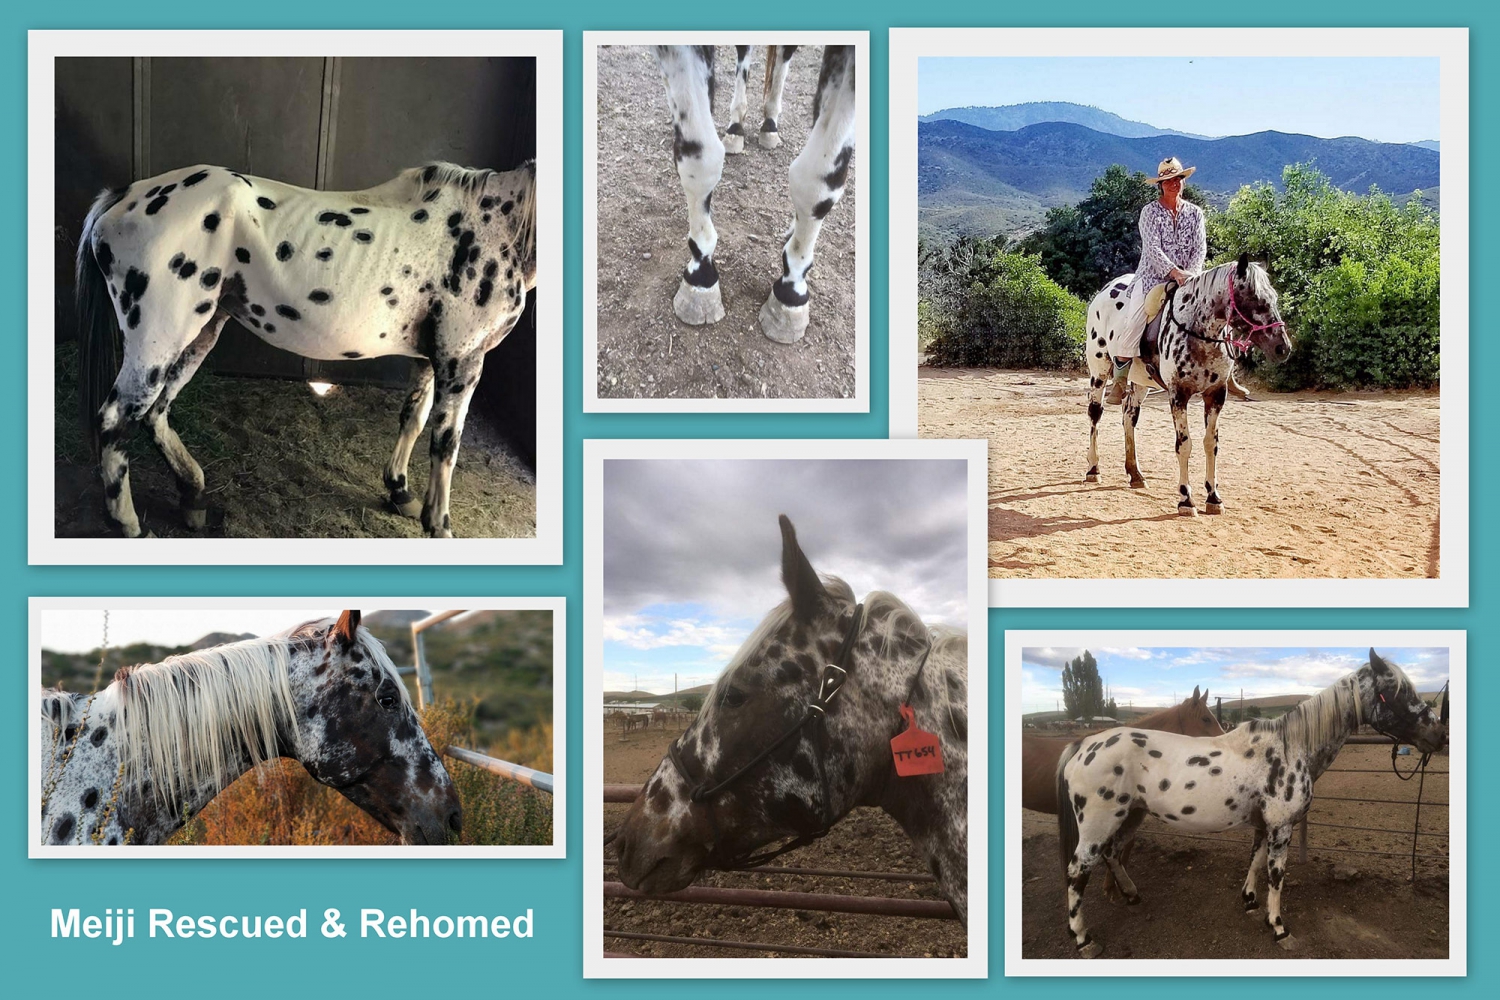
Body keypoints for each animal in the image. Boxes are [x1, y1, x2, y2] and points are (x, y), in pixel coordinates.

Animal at [75, 159, 537, 539]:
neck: (498, 227)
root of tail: (125, 197)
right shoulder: (463, 359)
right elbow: (446, 443)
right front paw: (438, 524)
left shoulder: (431, 358)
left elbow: (414, 419)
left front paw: (399, 492)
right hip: (160, 338)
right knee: (116, 420)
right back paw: (130, 526)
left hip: (200, 332)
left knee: (155, 413)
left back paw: (193, 497)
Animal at [653, 45, 855, 343]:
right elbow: (699, 159)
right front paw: (701, 275)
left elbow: (819, 182)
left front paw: (791, 290)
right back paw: (736, 125)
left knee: (785, 56)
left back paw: (770, 123)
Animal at [1056, 649, 1447, 957]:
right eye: (1396, 691)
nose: (1439, 735)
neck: (1290, 748)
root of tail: (1084, 745)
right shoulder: (1282, 826)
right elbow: (1276, 875)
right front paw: (1279, 928)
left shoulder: (1265, 825)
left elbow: (1256, 862)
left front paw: (1249, 902)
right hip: (1099, 823)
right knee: (1077, 870)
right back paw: (1083, 939)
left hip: (1130, 816)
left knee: (1112, 855)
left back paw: (1132, 896)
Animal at [1084, 255, 1293, 515]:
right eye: (1255, 299)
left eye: (1273, 298)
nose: (1283, 348)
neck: (1198, 331)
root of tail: (1105, 290)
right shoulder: (1178, 395)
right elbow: (1184, 445)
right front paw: (1186, 499)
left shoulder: (1215, 395)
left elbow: (1210, 444)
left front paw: (1214, 497)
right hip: (1099, 371)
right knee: (1095, 414)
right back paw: (1093, 469)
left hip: (1141, 382)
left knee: (1129, 417)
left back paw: (1135, 473)